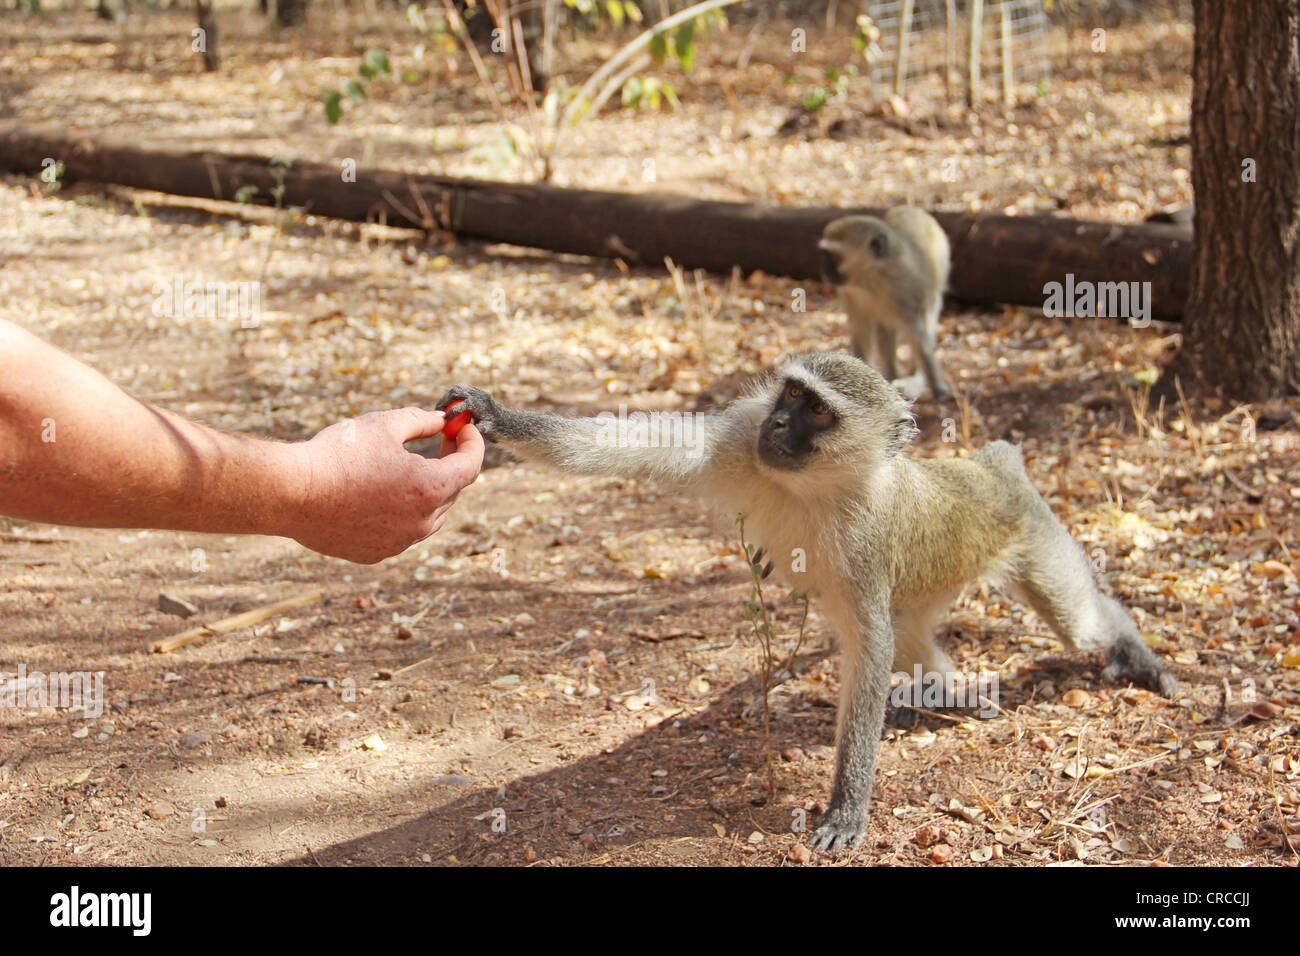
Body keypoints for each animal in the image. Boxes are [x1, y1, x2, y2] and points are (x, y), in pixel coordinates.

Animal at [438, 351, 1177, 852]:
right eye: (791, 393)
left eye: (818, 411)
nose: (779, 420)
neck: (812, 485)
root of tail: (987, 470)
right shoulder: (739, 439)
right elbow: (633, 446)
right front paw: (495, 415)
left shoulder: (866, 540)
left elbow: (868, 649)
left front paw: (847, 805)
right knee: (913, 638)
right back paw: (957, 694)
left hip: (1028, 531)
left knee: (1078, 625)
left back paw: (1129, 650)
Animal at [819, 208, 952, 401]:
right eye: (824, 255)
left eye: (833, 257)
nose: (824, 270)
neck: (871, 278)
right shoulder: (850, 292)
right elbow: (861, 329)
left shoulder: (904, 289)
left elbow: (919, 338)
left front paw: (938, 388)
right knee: (885, 329)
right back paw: (892, 375)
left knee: (926, 320)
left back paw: (914, 377)